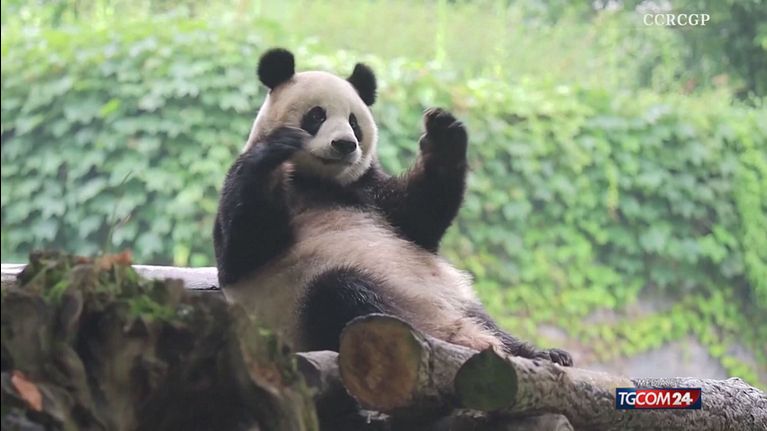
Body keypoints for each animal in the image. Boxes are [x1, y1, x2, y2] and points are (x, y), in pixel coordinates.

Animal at [213, 48, 572, 366]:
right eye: (316, 115)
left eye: (354, 122)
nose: (344, 144)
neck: (319, 182)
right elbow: (243, 248)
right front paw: (276, 150)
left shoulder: (370, 195)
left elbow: (421, 216)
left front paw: (443, 135)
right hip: (301, 302)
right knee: (341, 293)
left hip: (450, 294)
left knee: (482, 318)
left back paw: (539, 352)